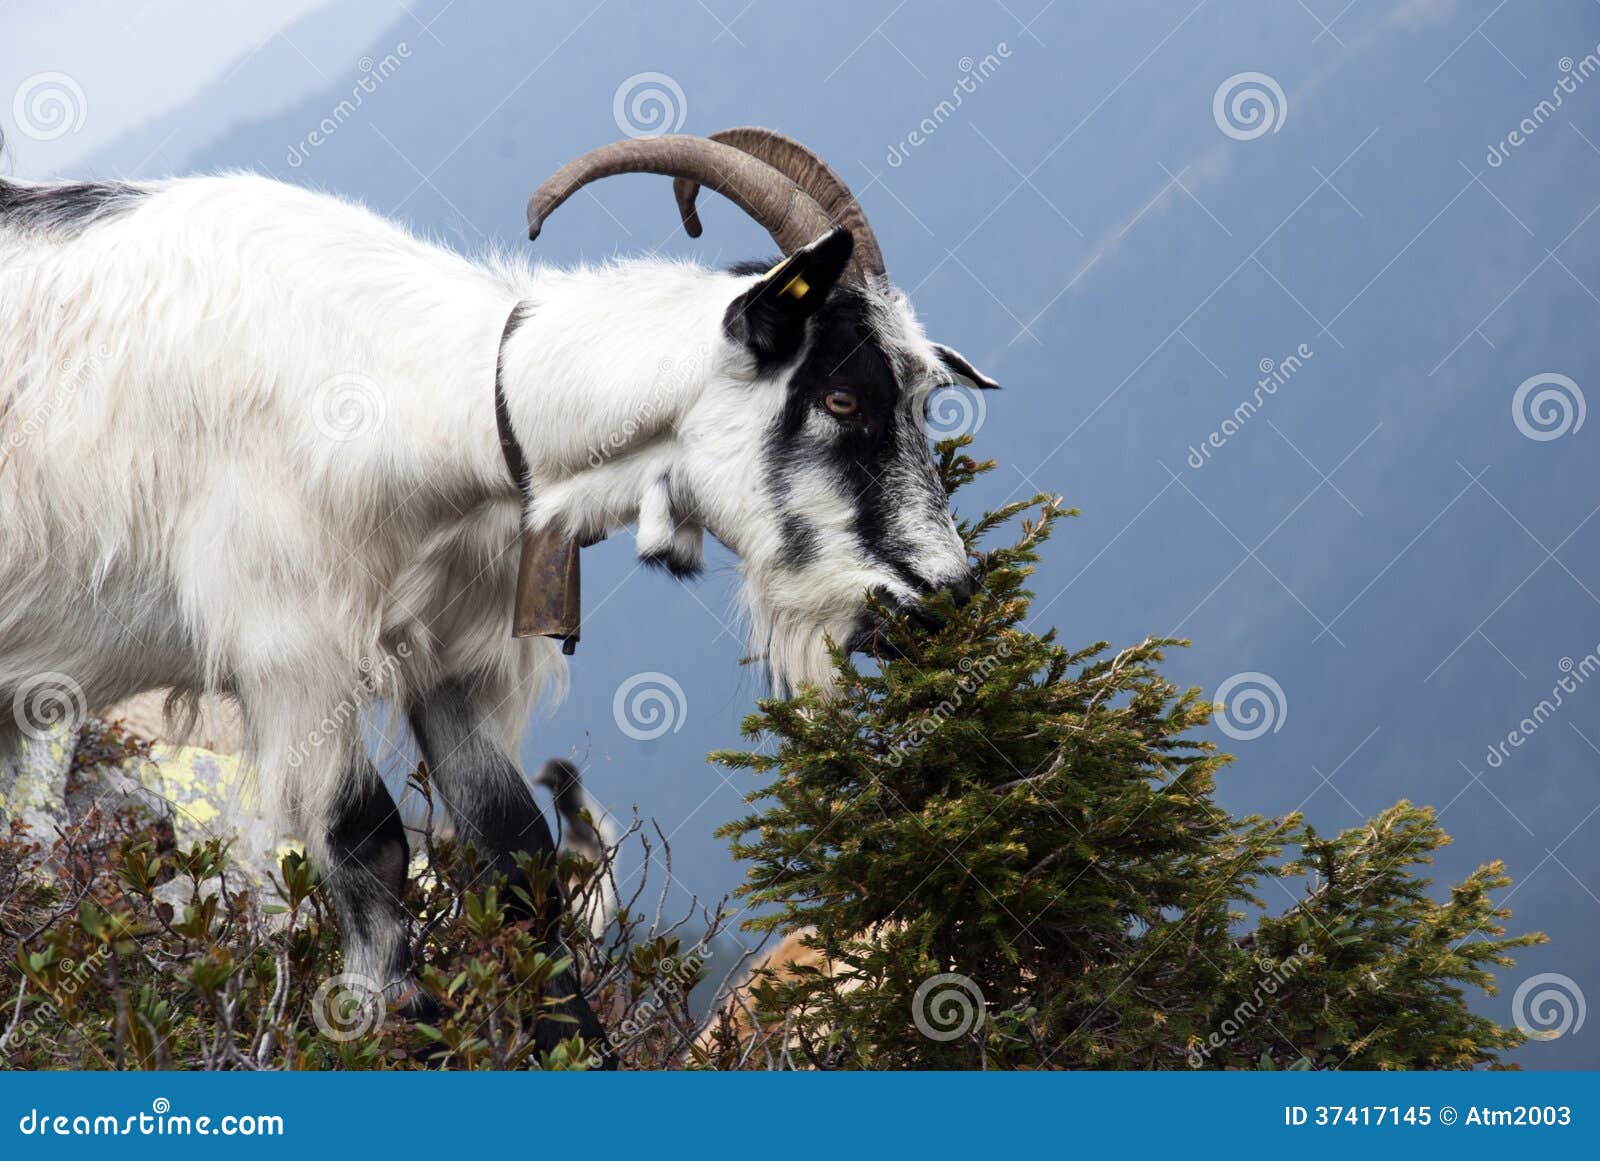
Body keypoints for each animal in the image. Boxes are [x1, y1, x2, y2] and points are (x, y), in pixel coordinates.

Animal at [0, 127, 998, 1061]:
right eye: (839, 397)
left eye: (921, 396)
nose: (944, 597)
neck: (404, 398)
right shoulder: (294, 654)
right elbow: (372, 848)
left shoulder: (446, 658)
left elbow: (517, 854)